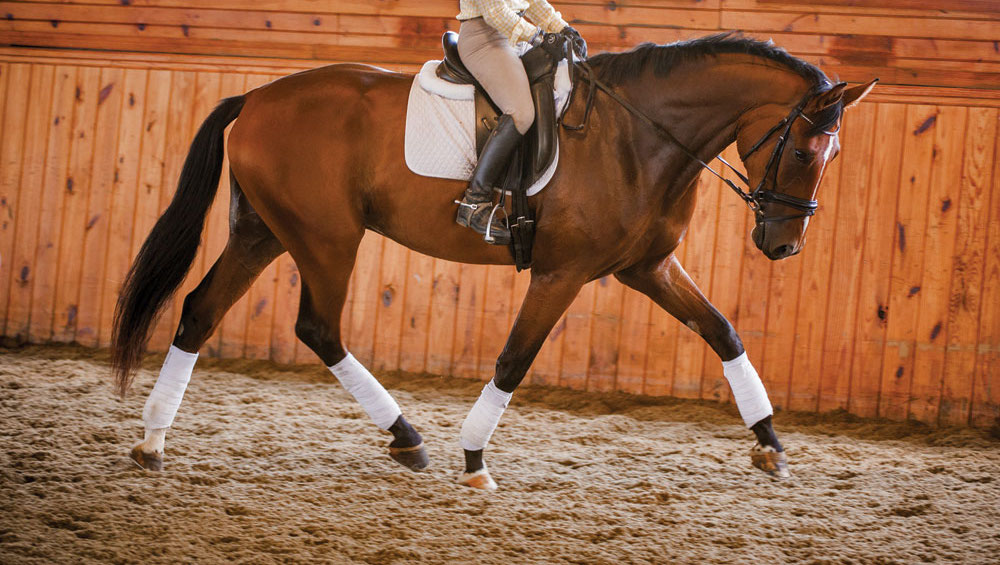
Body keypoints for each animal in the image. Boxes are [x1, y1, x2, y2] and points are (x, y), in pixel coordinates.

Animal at [111, 34, 876, 489]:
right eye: (804, 149)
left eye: (834, 154)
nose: (783, 245)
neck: (640, 133)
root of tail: (258, 97)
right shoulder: (562, 274)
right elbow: (514, 359)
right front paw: (475, 458)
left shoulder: (647, 267)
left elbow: (723, 331)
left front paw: (769, 442)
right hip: (326, 238)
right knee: (317, 328)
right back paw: (407, 436)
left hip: (263, 233)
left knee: (200, 312)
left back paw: (153, 441)